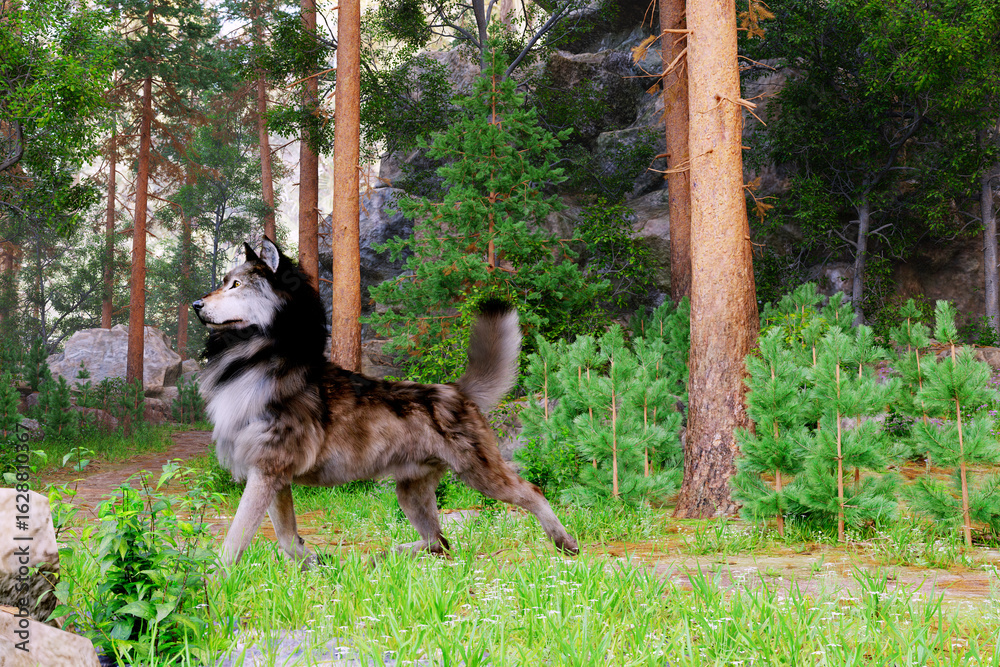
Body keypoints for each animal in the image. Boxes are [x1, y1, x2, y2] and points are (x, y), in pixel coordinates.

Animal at [193, 237, 579, 567]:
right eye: (224, 281)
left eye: (235, 285)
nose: (196, 304)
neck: (263, 362)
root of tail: (456, 390)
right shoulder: (272, 476)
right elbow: (287, 538)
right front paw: (314, 563)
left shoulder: (267, 472)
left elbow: (236, 538)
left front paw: (216, 580)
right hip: (410, 493)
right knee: (439, 542)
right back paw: (380, 557)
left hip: (481, 477)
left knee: (532, 492)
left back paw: (565, 542)